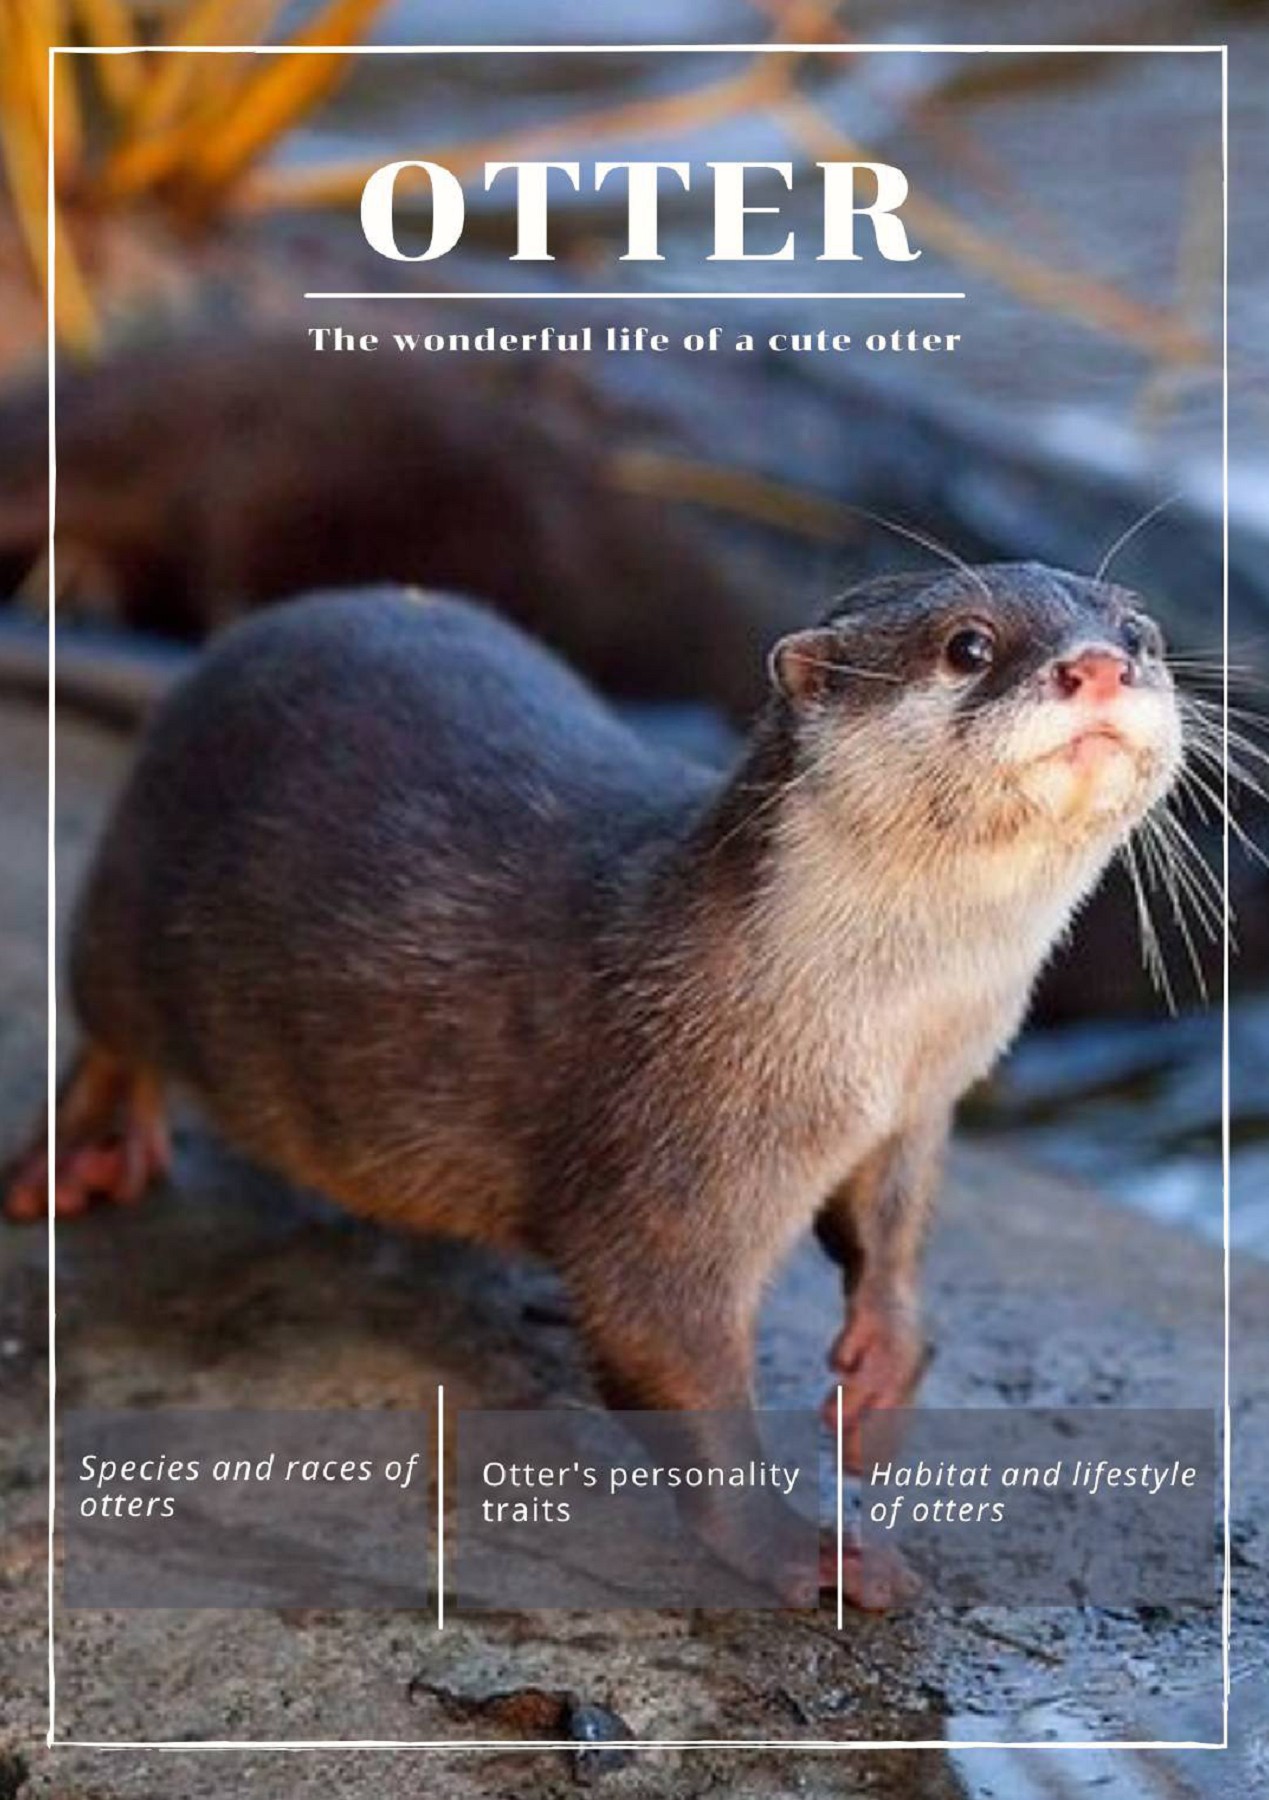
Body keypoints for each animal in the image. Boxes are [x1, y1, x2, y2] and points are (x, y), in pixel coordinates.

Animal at [6, 568, 1183, 1605]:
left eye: (1141, 633)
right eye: (968, 646)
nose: (1097, 666)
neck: (870, 1041)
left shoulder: (915, 1114)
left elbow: (891, 1237)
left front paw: (882, 1372)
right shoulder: (669, 1131)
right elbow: (657, 1342)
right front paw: (799, 1550)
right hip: (131, 898)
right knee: (106, 1014)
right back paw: (84, 1153)